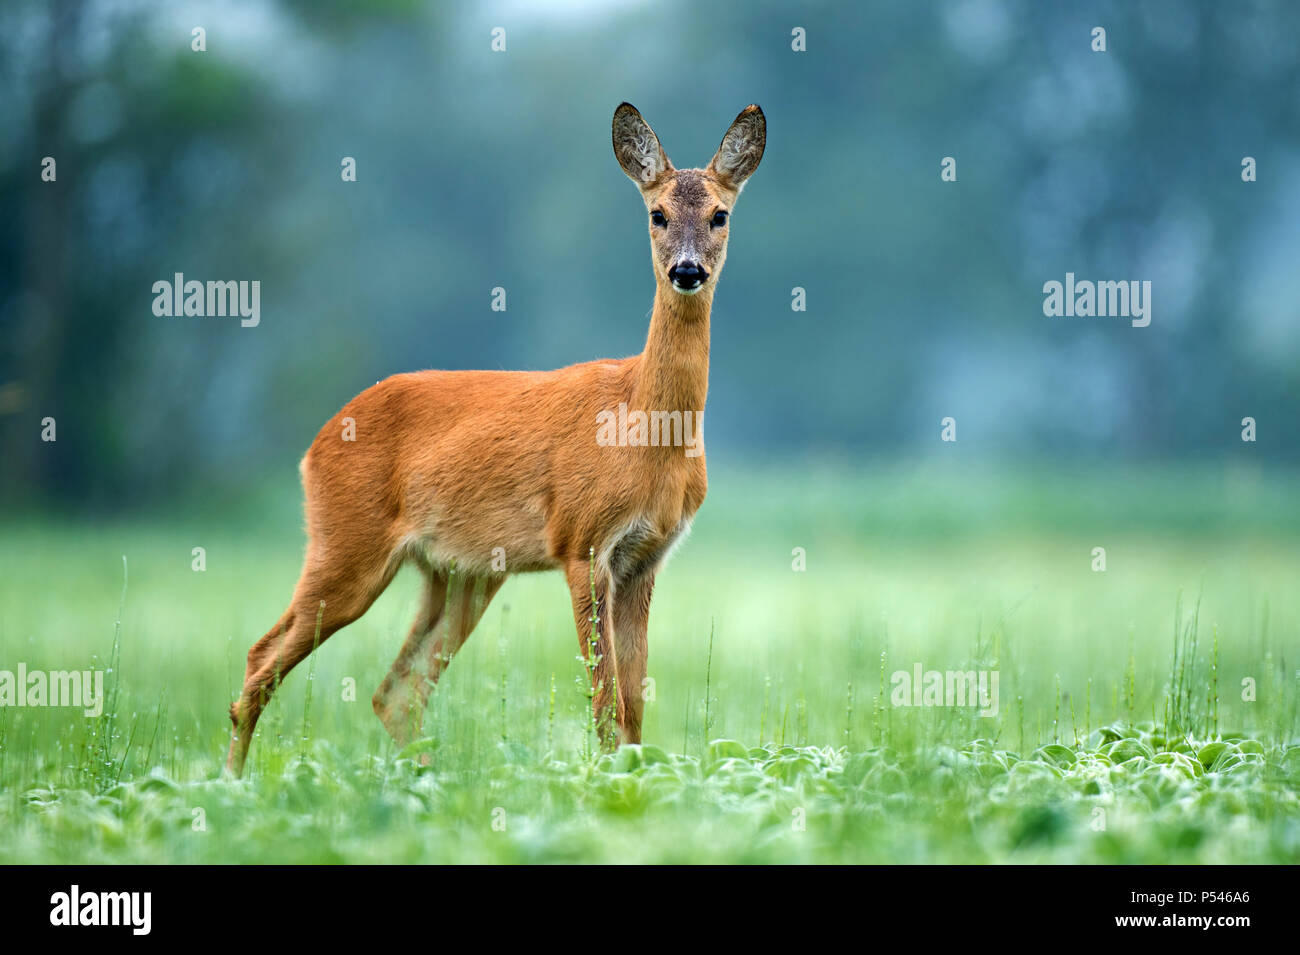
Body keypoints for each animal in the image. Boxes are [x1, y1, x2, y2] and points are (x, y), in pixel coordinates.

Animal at [225, 103, 765, 776]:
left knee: (395, 690)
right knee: (261, 660)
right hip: (345, 544)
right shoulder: (582, 541)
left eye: (720, 214)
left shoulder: (645, 558)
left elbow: (635, 705)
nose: (687, 271)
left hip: (459, 572)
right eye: (656, 214)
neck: (644, 428)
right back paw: (231, 784)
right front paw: (604, 782)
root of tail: (314, 445)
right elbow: (605, 701)